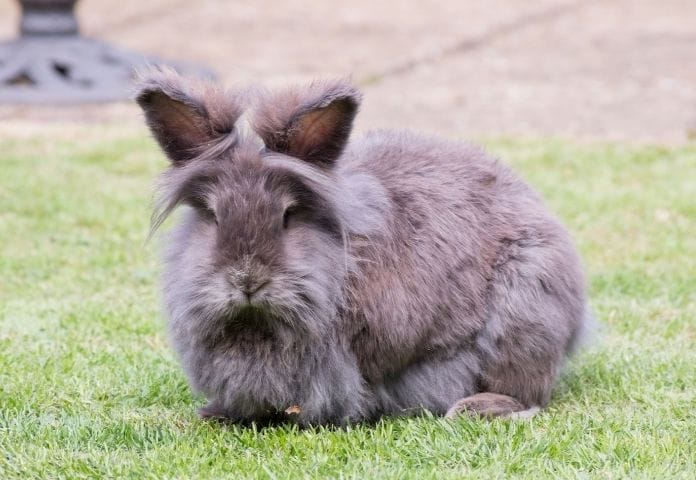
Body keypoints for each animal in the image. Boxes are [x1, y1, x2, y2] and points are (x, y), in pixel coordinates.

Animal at [135, 67, 590, 426]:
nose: (248, 280)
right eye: (212, 216)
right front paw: (215, 413)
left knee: (528, 393)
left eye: (288, 215)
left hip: (526, 316)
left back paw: (475, 408)